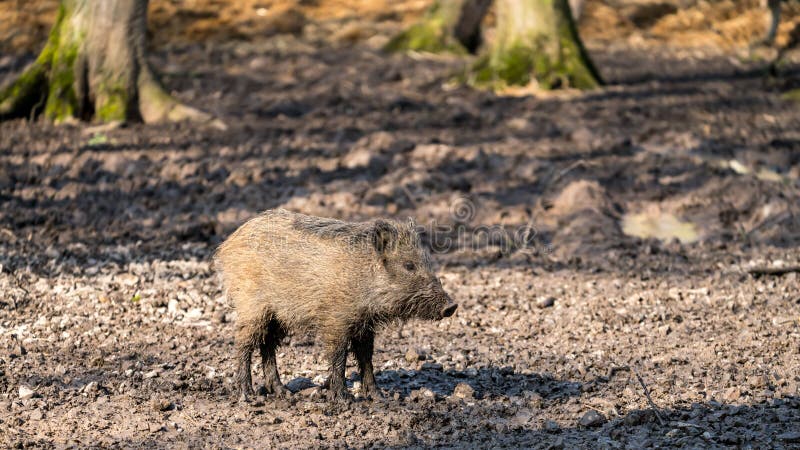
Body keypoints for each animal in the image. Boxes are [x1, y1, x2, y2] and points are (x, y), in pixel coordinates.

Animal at [213, 209, 457, 401]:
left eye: (427, 262)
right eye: (408, 265)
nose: (451, 306)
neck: (363, 278)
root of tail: (228, 242)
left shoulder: (364, 324)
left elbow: (366, 357)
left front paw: (378, 396)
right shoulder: (336, 321)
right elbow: (339, 356)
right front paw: (342, 398)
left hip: (278, 315)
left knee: (267, 346)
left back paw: (283, 393)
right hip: (252, 306)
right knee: (243, 343)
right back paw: (247, 395)